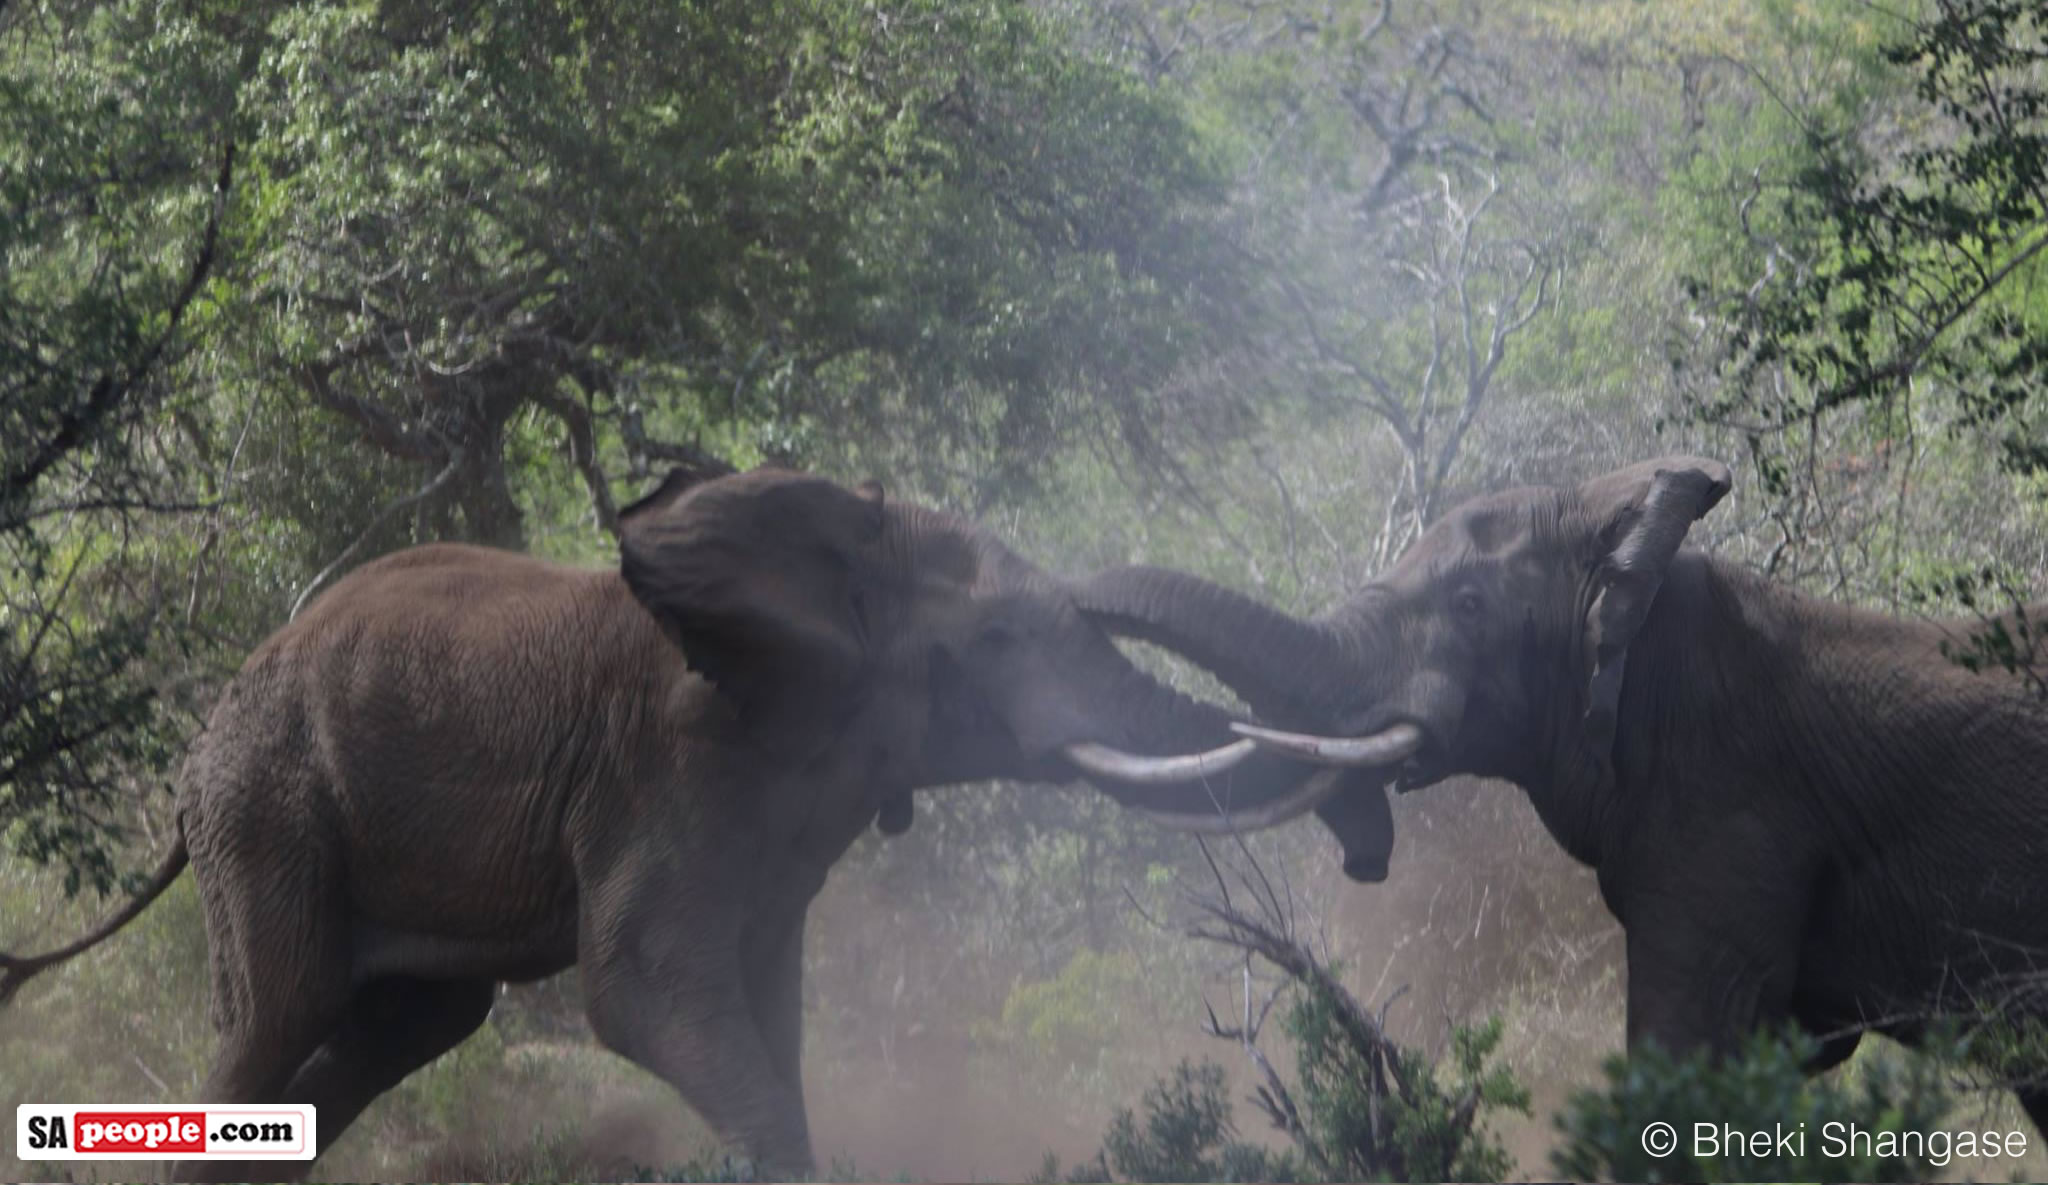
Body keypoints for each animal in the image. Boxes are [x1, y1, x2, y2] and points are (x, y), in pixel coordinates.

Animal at [0, 465, 1420, 1180]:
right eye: (997, 645)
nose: (1368, 856)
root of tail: (209, 723)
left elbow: (769, 1018)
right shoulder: (665, 771)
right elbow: (646, 997)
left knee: (399, 1033)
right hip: (270, 809)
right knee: (274, 1021)